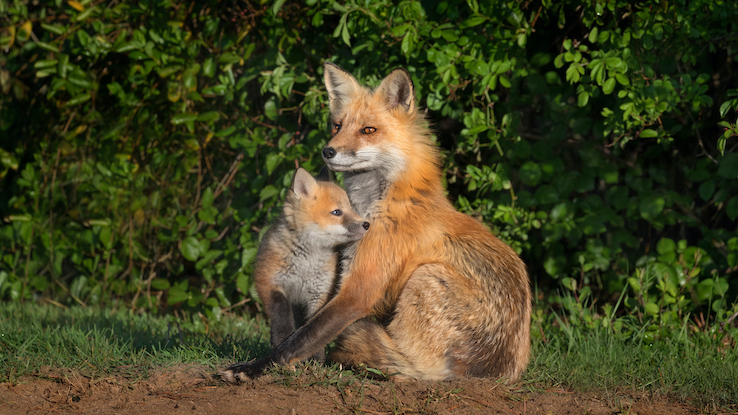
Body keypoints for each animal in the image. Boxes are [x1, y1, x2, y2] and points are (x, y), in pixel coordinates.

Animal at [232, 167, 369, 368]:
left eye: (351, 209)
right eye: (336, 212)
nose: (367, 224)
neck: (306, 262)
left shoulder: (319, 293)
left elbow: (312, 330)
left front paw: (314, 361)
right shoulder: (267, 281)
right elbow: (281, 311)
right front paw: (280, 341)